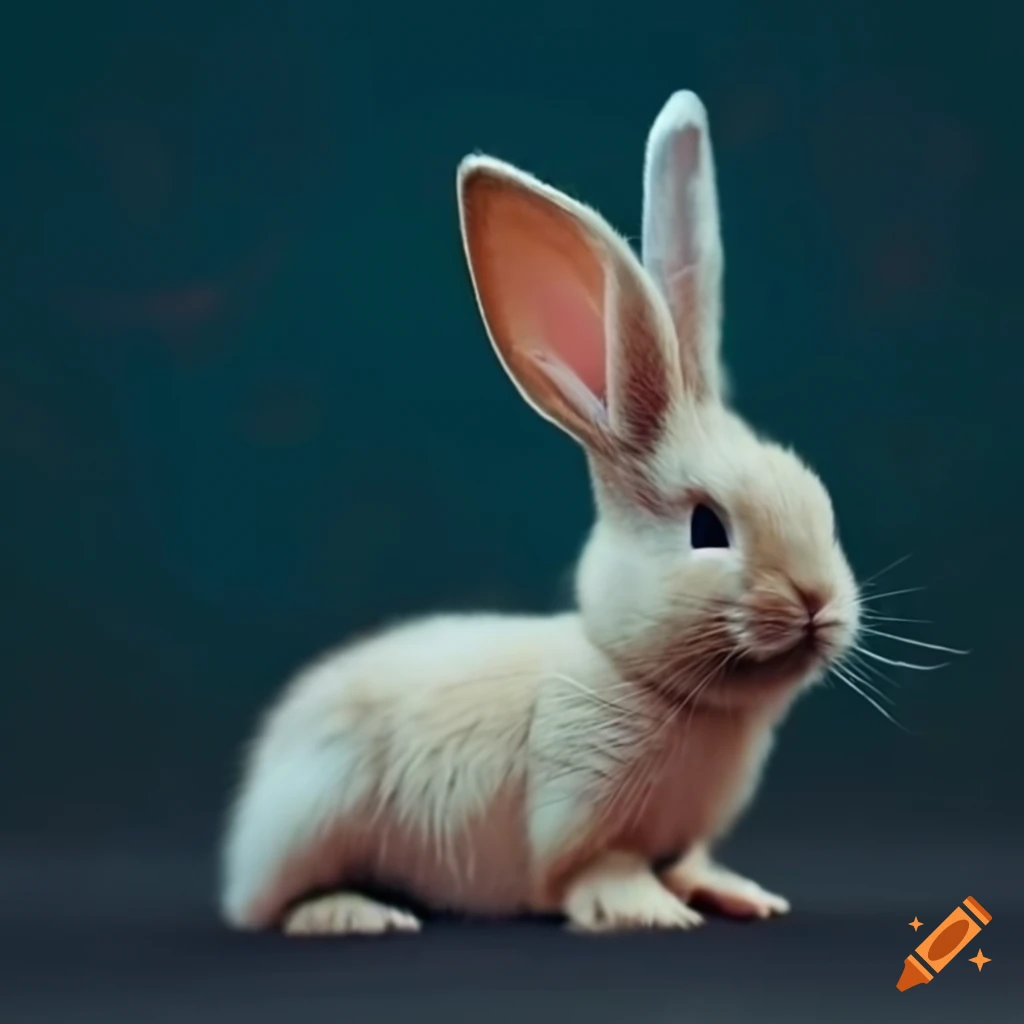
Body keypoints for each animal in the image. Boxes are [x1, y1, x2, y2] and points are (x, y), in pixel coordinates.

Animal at [219, 90, 861, 937]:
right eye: (707, 530)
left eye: (820, 502)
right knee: (278, 904)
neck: (643, 678)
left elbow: (689, 862)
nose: (818, 601)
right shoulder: (574, 813)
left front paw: (740, 895)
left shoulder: (681, 836)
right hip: (314, 819)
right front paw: (650, 912)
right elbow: (601, 870)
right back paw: (358, 913)